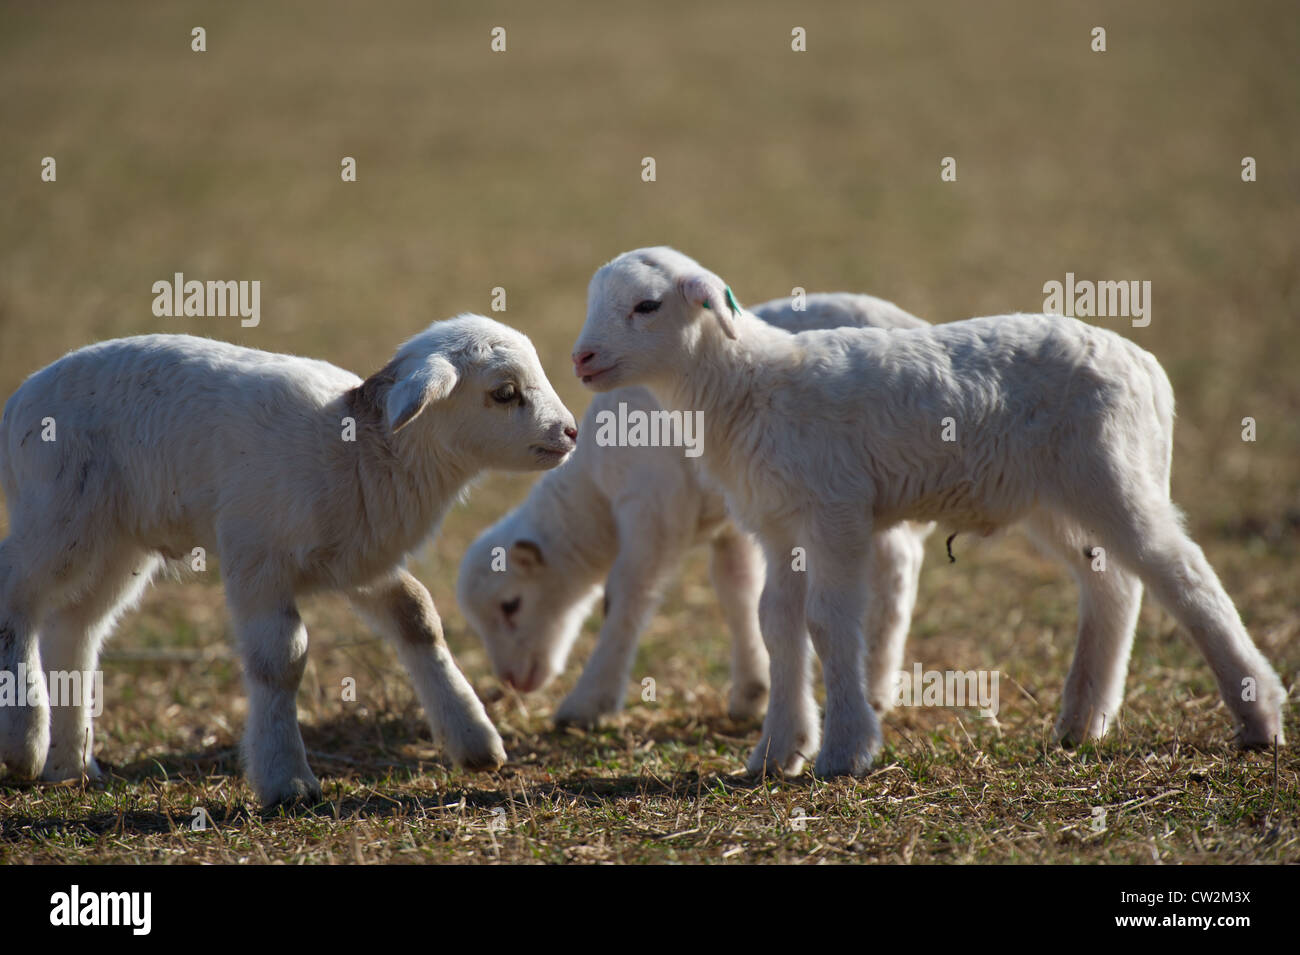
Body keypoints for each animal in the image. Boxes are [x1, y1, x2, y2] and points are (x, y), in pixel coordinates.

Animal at [0, 315, 577, 805]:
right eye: (504, 393)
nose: (570, 432)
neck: (361, 449)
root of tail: (20, 399)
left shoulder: (359, 562)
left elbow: (417, 615)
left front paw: (475, 741)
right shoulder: (257, 559)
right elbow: (282, 658)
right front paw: (287, 780)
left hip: (120, 542)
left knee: (75, 629)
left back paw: (70, 764)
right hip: (60, 515)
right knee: (17, 593)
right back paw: (24, 741)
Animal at [458, 293, 931, 728]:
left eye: (511, 605)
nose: (512, 681)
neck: (595, 494)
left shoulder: (654, 509)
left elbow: (626, 596)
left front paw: (588, 702)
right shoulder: (731, 525)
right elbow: (737, 590)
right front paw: (751, 691)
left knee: (897, 565)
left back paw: (876, 686)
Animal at [572, 246, 1287, 778]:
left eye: (646, 305)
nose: (581, 357)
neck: (745, 384)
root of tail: (1149, 368)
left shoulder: (836, 511)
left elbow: (828, 623)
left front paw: (845, 750)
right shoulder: (777, 525)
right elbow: (778, 625)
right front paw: (778, 752)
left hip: (1113, 474)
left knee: (1182, 573)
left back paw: (1260, 715)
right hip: (1054, 499)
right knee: (1112, 585)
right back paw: (1083, 723)